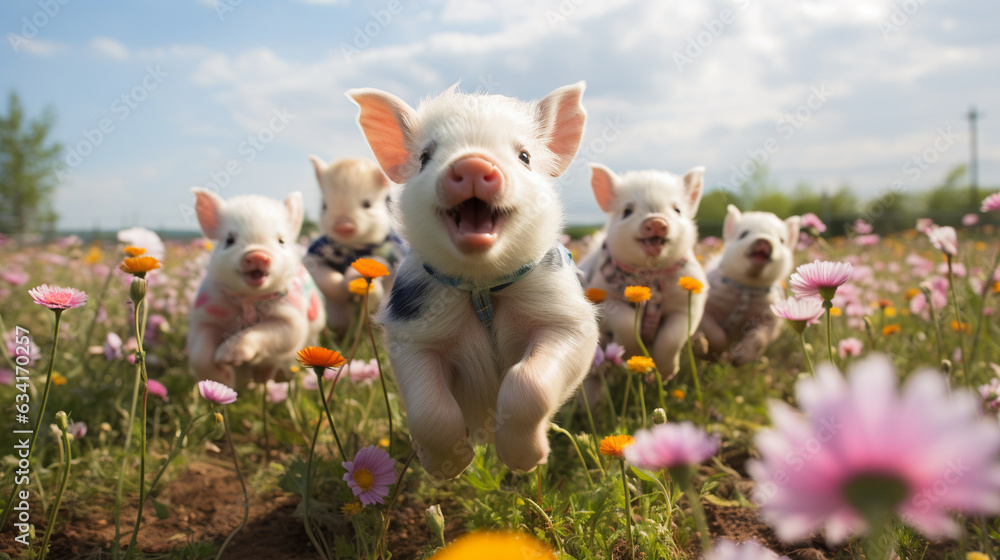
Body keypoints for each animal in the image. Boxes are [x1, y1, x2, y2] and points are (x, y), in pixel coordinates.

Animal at [187, 189, 325, 387]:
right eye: (229, 240)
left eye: (281, 241)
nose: (258, 255)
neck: (248, 299)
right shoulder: (206, 313)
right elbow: (200, 354)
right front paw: (223, 380)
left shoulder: (292, 318)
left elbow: (270, 332)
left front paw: (226, 356)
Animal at [305, 157, 403, 335]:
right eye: (324, 206)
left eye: (367, 204)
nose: (343, 226)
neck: (354, 247)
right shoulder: (315, 252)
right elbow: (326, 280)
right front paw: (344, 284)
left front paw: (354, 277)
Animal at [347, 82, 599, 477]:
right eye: (425, 157)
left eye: (524, 156)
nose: (473, 162)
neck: (482, 289)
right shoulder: (410, 333)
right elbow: (429, 410)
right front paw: (449, 468)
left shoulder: (571, 320)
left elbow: (527, 383)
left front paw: (526, 463)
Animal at [580, 163, 708, 378]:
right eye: (627, 211)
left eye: (677, 210)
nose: (656, 221)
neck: (651, 274)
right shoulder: (603, 296)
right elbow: (626, 323)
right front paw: (631, 357)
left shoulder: (689, 304)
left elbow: (672, 337)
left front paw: (665, 375)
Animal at [696, 205, 800, 365]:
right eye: (743, 234)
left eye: (781, 240)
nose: (764, 240)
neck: (748, 286)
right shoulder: (708, 306)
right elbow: (714, 333)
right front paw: (716, 355)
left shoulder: (770, 318)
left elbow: (759, 338)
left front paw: (738, 361)